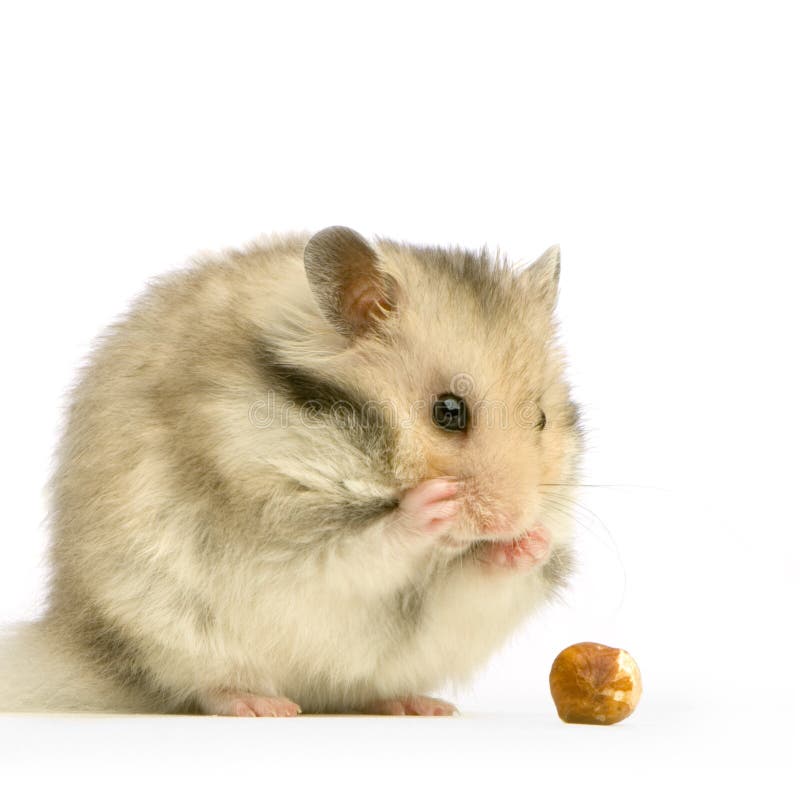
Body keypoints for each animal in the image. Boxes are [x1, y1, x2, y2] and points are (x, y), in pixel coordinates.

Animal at [0, 226, 583, 715]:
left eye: (541, 418)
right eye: (448, 412)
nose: (510, 521)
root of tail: (71, 636)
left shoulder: (457, 601)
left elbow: (476, 580)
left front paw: (531, 544)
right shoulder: (283, 528)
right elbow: (366, 548)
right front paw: (429, 508)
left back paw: (420, 706)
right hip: (164, 631)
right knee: (198, 685)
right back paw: (263, 706)